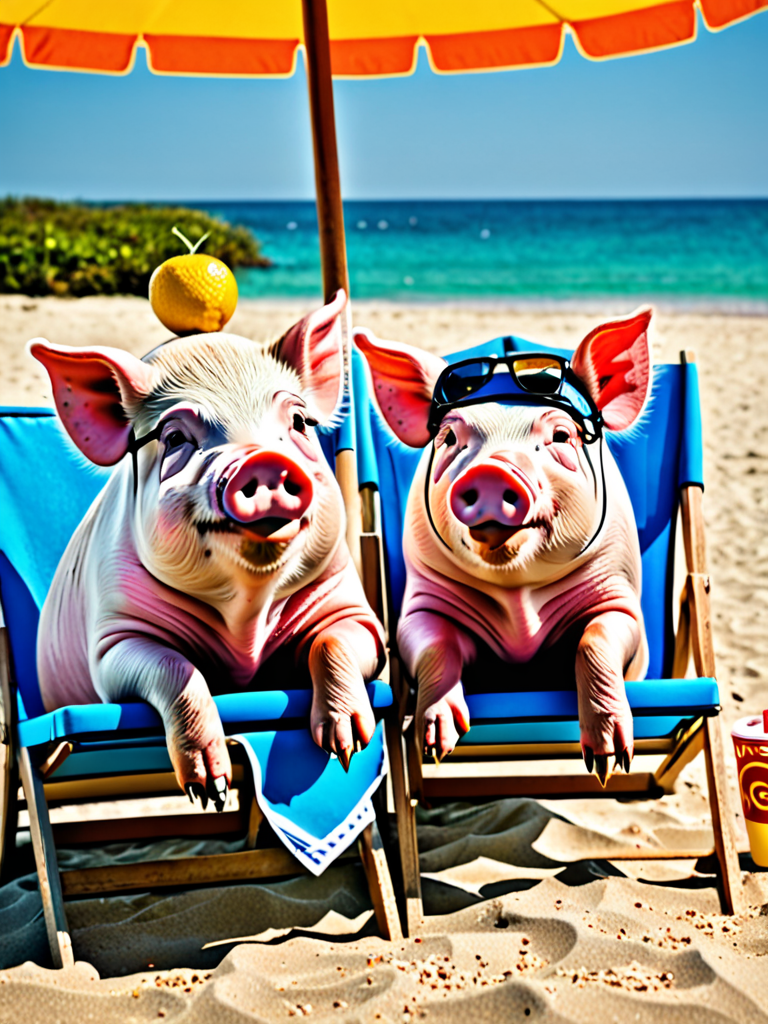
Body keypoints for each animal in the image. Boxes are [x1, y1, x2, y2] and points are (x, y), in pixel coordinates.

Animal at [30, 290, 384, 809]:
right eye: (176, 437)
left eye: (298, 421)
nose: (263, 460)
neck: (246, 622)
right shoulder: (112, 643)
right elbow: (174, 668)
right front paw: (209, 790)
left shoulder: (347, 602)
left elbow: (335, 641)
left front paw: (345, 746)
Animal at [355, 310, 652, 784]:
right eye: (449, 440)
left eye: (562, 436)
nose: (493, 471)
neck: (519, 608)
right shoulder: (420, 606)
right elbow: (435, 643)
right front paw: (436, 745)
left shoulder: (619, 596)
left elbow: (597, 638)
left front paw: (608, 763)